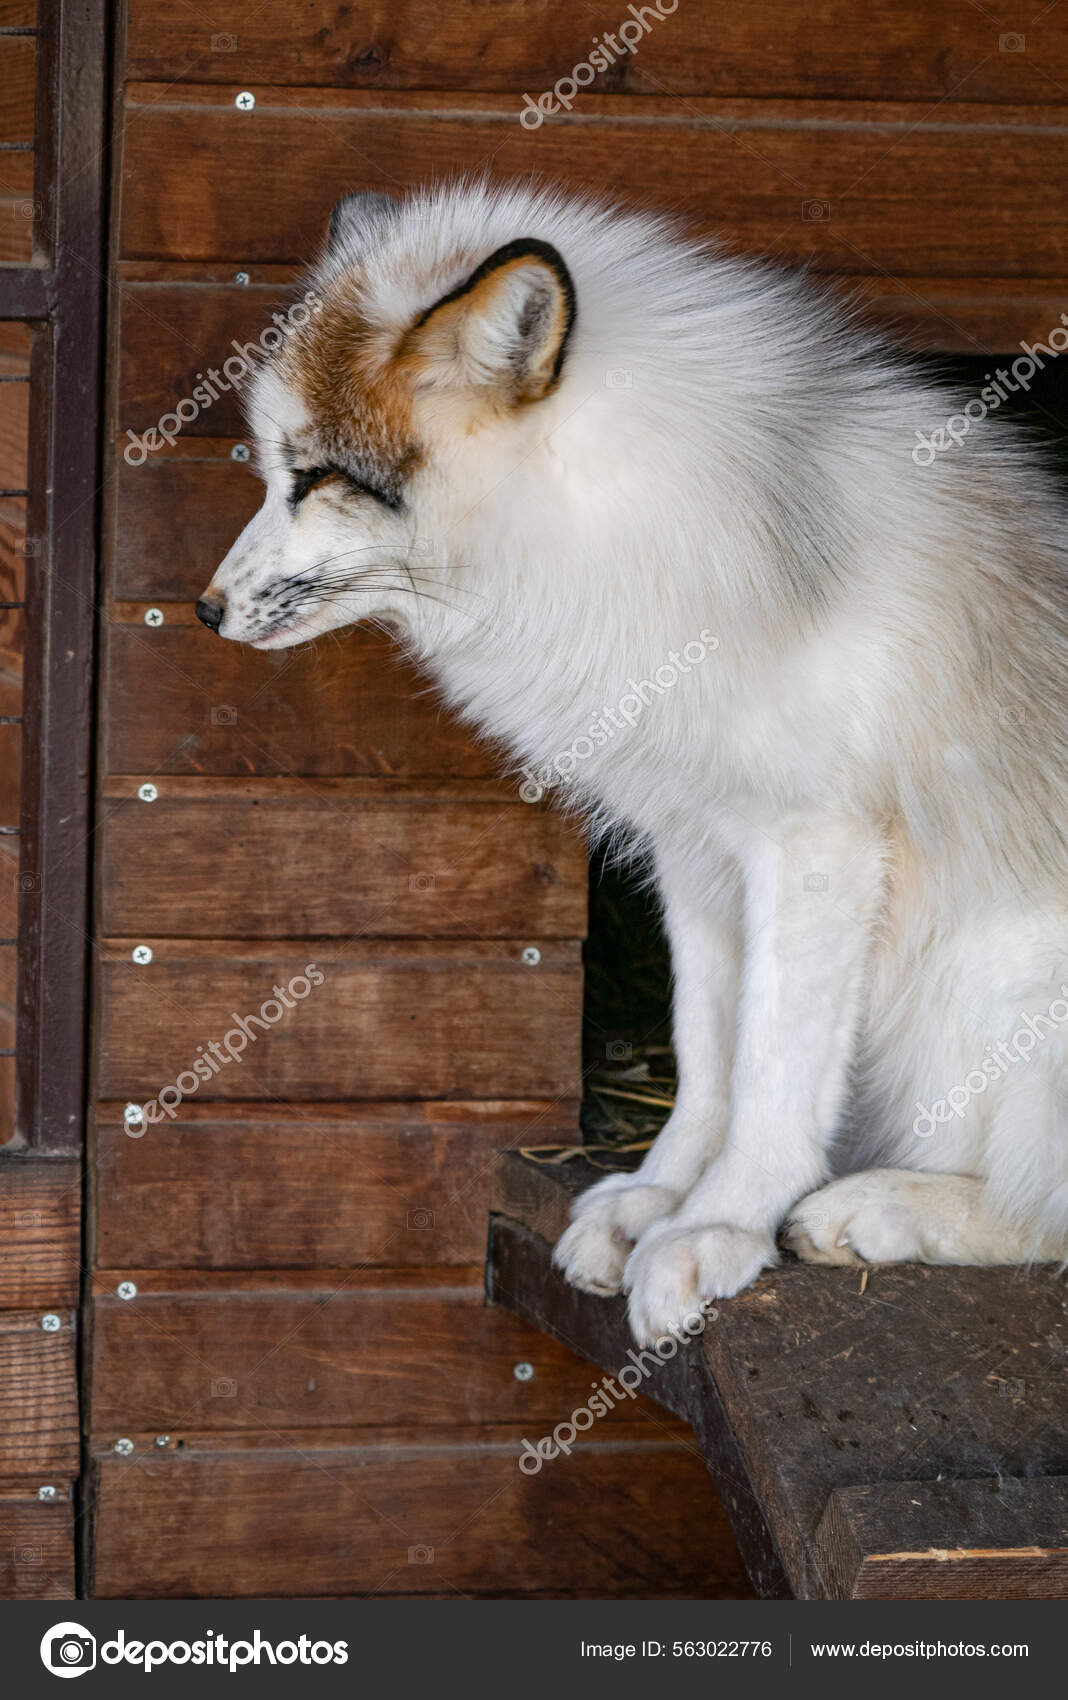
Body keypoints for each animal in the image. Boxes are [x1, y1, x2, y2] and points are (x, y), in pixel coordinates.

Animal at [198, 180, 1068, 1346]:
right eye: (269, 469)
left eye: (319, 476)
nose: (205, 609)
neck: (629, 534)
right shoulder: (694, 846)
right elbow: (706, 1055)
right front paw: (661, 1195)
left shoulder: (814, 845)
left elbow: (771, 1071)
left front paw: (722, 1225)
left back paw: (880, 1207)